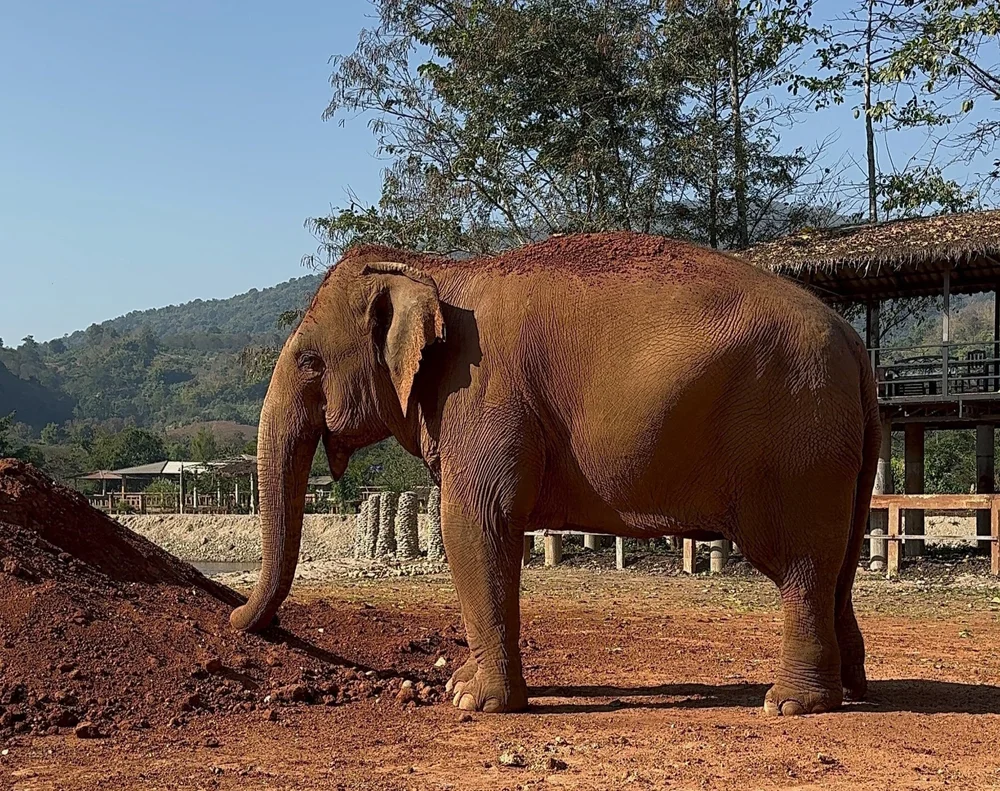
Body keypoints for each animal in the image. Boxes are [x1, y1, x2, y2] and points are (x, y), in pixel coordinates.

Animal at [230, 231, 880, 717]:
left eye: (309, 362)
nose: (238, 619)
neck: (435, 269)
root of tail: (855, 345)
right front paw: (459, 683)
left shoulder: (484, 394)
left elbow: (475, 520)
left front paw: (475, 702)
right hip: (839, 453)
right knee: (839, 564)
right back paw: (850, 688)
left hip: (796, 447)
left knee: (800, 565)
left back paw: (790, 704)